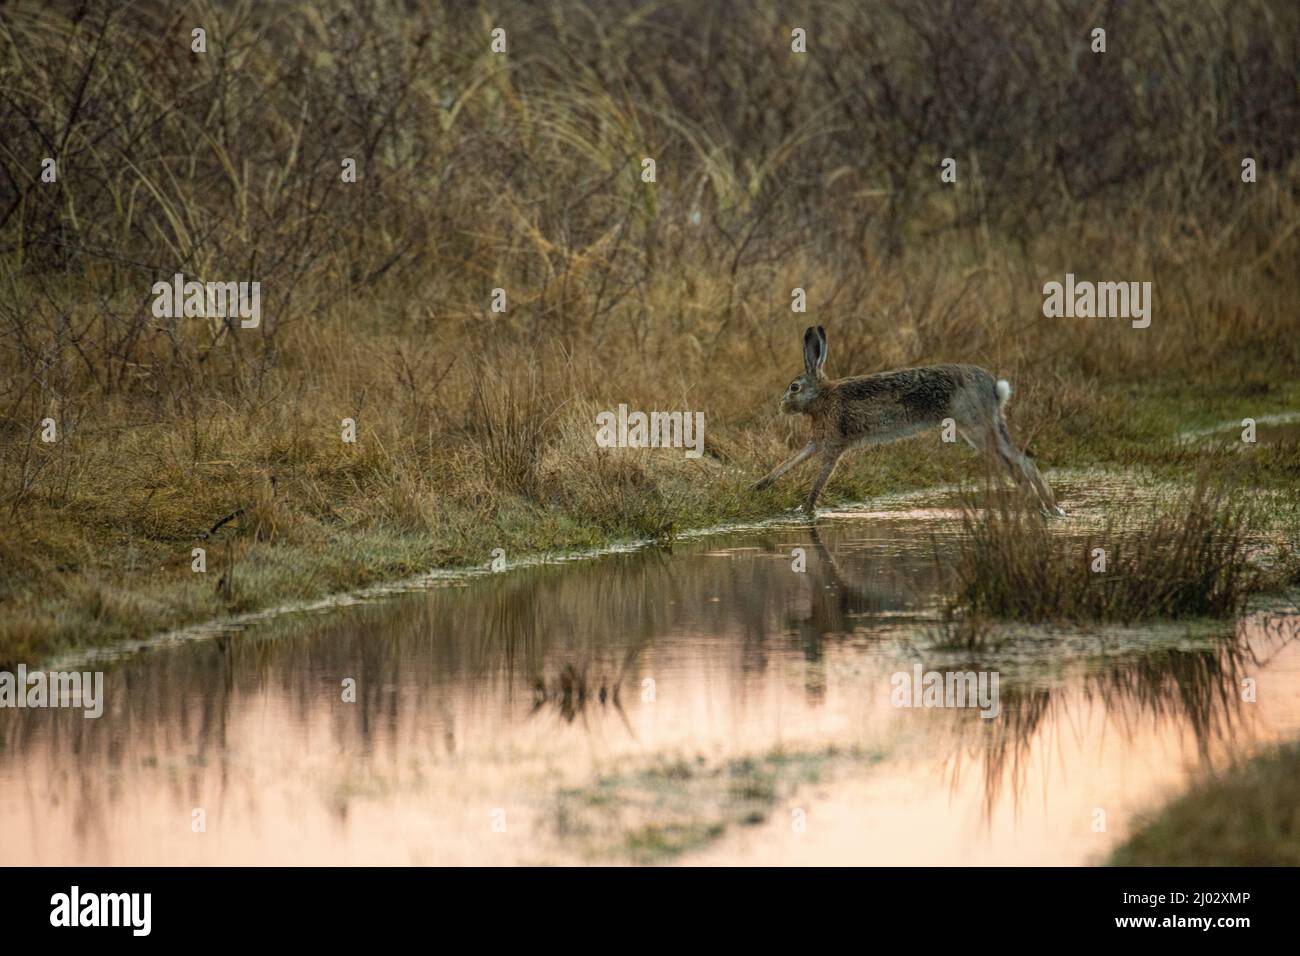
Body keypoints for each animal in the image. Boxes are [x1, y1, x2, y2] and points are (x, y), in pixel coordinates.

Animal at [754, 326, 1065, 518]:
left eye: (794, 387)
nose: (782, 405)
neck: (823, 396)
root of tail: (993, 387)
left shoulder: (833, 445)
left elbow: (819, 481)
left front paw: (804, 510)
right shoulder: (818, 441)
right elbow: (790, 461)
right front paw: (758, 487)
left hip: (977, 427)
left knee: (1019, 462)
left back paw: (1046, 508)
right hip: (983, 428)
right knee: (1017, 461)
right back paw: (1046, 507)